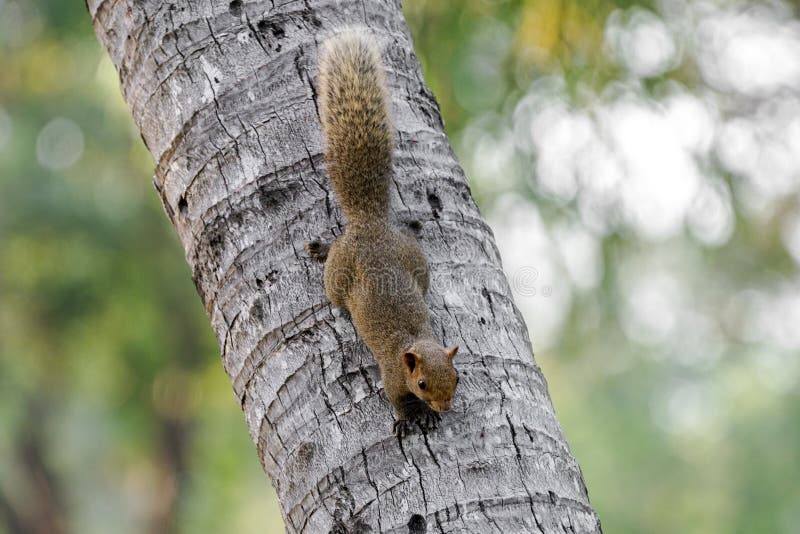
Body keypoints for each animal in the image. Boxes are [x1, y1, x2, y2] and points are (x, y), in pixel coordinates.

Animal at [307, 29, 459, 436]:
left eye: (457, 377)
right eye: (421, 383)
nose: (444, 407)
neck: (414, 341)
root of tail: (369, 223)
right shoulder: (391, 377)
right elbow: (396, 403)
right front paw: (410, 421)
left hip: (416, 261)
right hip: (337, 276)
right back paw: (322, 249)